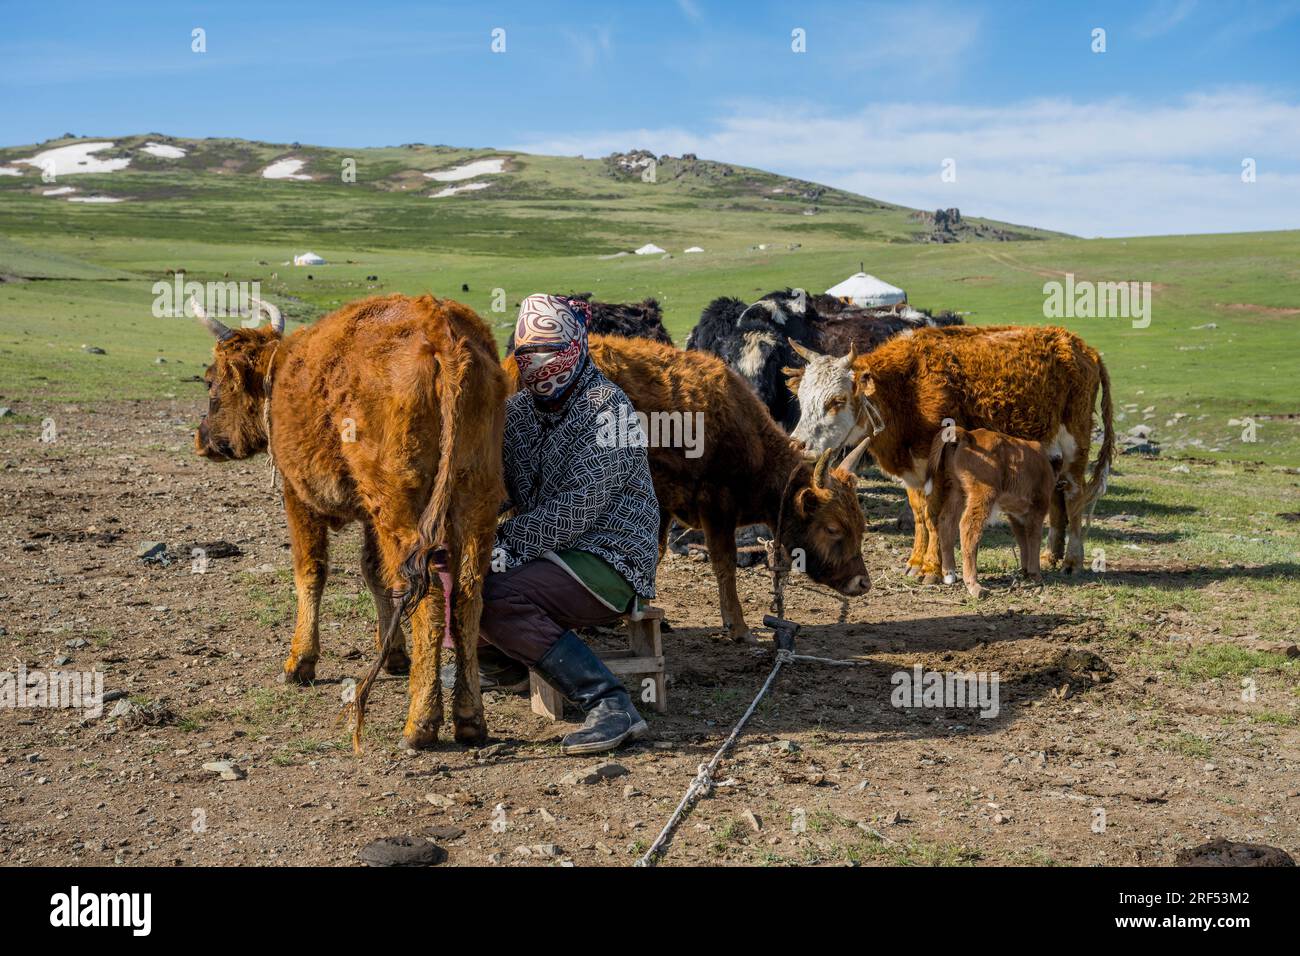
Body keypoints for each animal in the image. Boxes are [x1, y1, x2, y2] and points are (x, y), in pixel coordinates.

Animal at [192, 292, 507, 751]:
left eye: (211, 382)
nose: (200, 439)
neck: (279, 374)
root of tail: (440, 330)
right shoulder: (368, 515)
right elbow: (377, 574)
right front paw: (393, 654)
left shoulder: (298, 495)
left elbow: (311, 571)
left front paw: (299, 661)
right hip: (475, 497)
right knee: (466, 595)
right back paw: (469, 719)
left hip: (399, 503)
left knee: (430, 594)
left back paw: (420, 723)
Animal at [505, 335, 871, 641]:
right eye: (833, 528)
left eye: (861, 525)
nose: (863, 582)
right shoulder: (717, 504)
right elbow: (724, 563)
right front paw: (738, 627)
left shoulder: (664, 504)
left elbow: (655, 553)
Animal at [787, 325, 1114, 580]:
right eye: (801, 398)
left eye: (837, 401)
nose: (797, 444)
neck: (906, 389)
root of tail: (1081, 346)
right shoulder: (913, 469)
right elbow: (919, 514)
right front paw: (915, 562)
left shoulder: (937, 466)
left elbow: (934, 515)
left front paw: (932, 568)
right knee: (1057, 496)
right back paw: (1049, 556)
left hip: (1075, 443)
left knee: (1073, 496)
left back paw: (1072, 560)